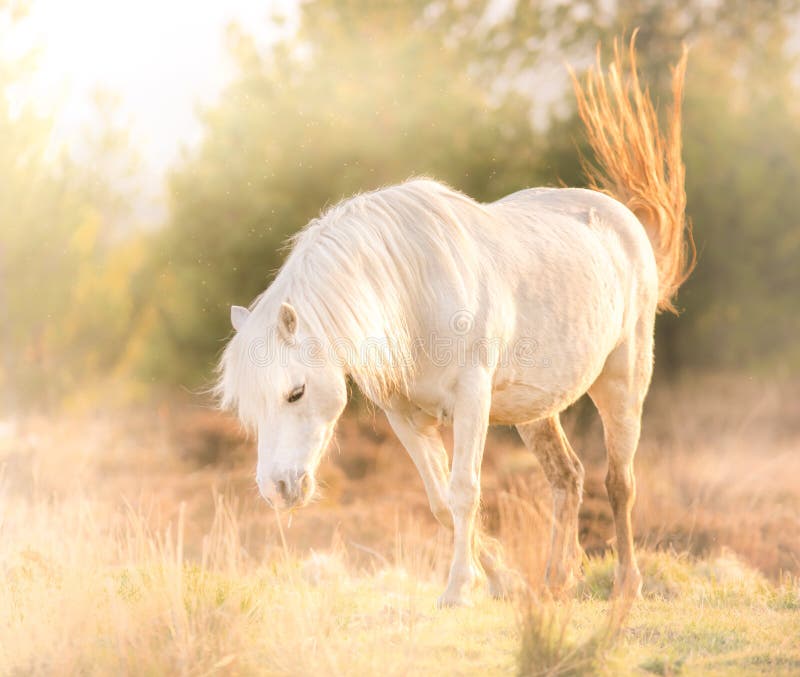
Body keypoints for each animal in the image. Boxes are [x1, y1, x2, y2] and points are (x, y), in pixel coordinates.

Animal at [216, 38, 693, 607]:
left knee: (619, 483)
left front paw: (459, 589)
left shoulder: (472, 399)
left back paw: (626, 584)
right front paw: (502, 581)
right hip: (535, 407)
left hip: (623, 380)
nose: (277, 490)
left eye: (295, 392)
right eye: (248, 408)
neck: (413, 293)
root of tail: (625, 219)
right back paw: (556, 580)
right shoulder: (404, 416)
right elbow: (441, 499)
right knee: (567, 477)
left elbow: (465, 490)